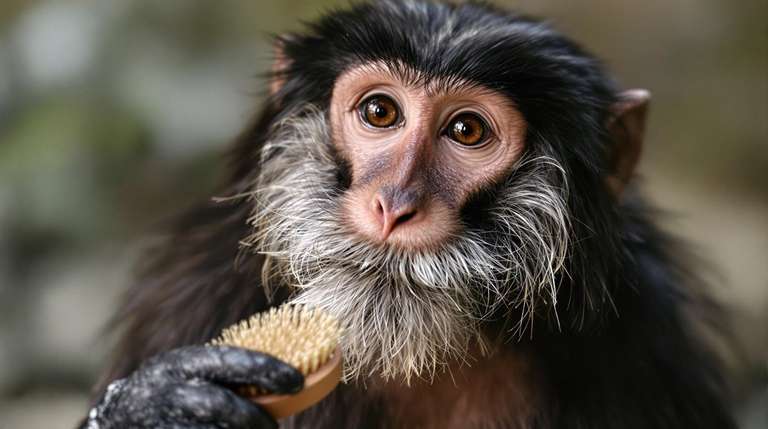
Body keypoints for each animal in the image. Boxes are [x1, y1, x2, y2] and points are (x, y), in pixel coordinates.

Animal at [80, 1, 737, 428]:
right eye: (380, 113)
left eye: (466, 130)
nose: (394, 204)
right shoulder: (193, 299)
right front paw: (160, 408)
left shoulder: (648, 344)